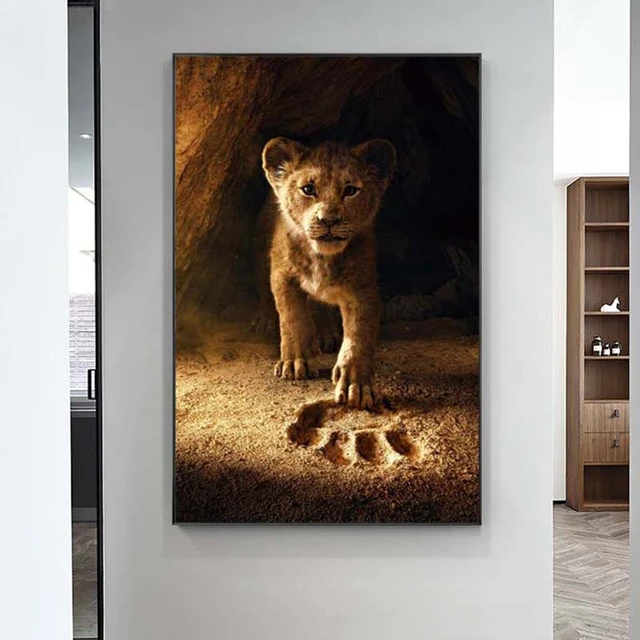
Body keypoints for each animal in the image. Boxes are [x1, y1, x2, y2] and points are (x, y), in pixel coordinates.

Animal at [262, 137, 396, 409]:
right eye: (308, 189)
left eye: (350, 190)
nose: (329, 220)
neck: (321, 257)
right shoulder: (282, 275)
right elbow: (292, 318)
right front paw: (296, 362)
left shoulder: (363, 288)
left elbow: (359, 335)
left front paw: (357, 386)